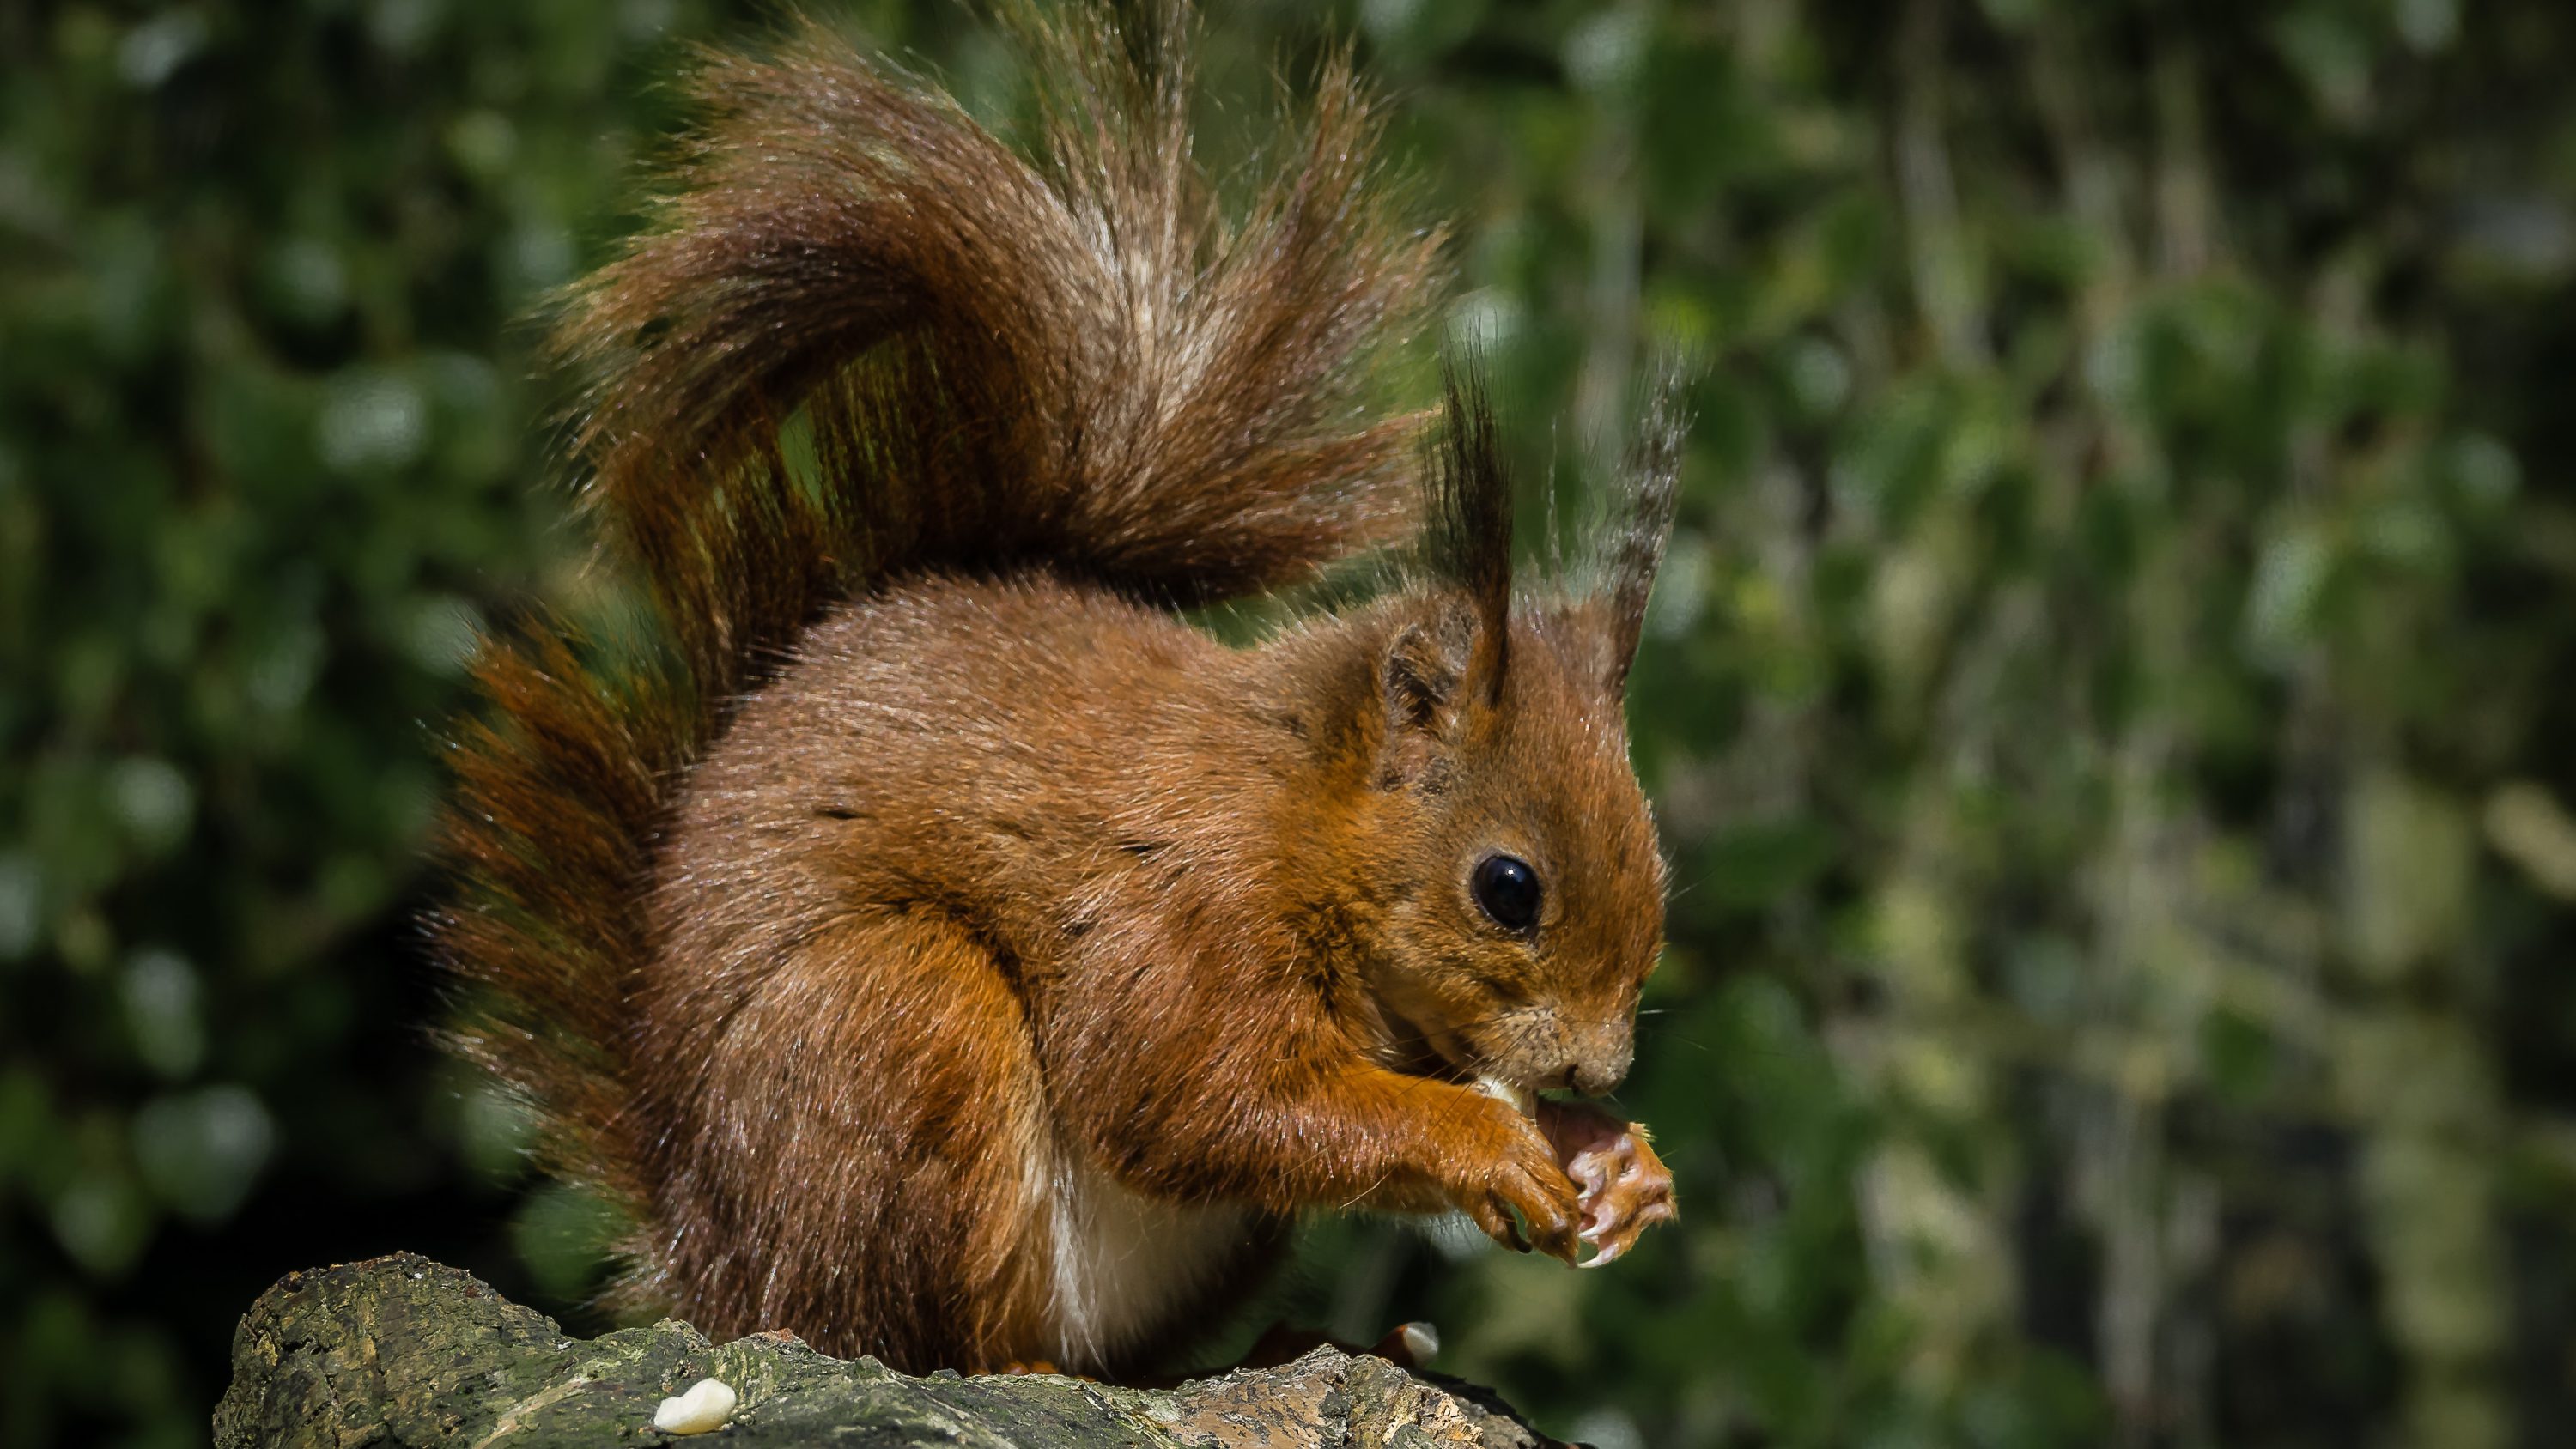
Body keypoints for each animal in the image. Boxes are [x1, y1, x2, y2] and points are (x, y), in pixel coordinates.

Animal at [436, 1, 1681, 1379]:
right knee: (907, 1325)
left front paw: (1621, 1168)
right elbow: (1189, 1099)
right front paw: (1491, 1143)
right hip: (890, 1022)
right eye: (1508, 888)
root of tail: (705, 1258)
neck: (1297, 809)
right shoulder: (1176, 912)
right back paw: (1019, 1364)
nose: (1595, 1070)